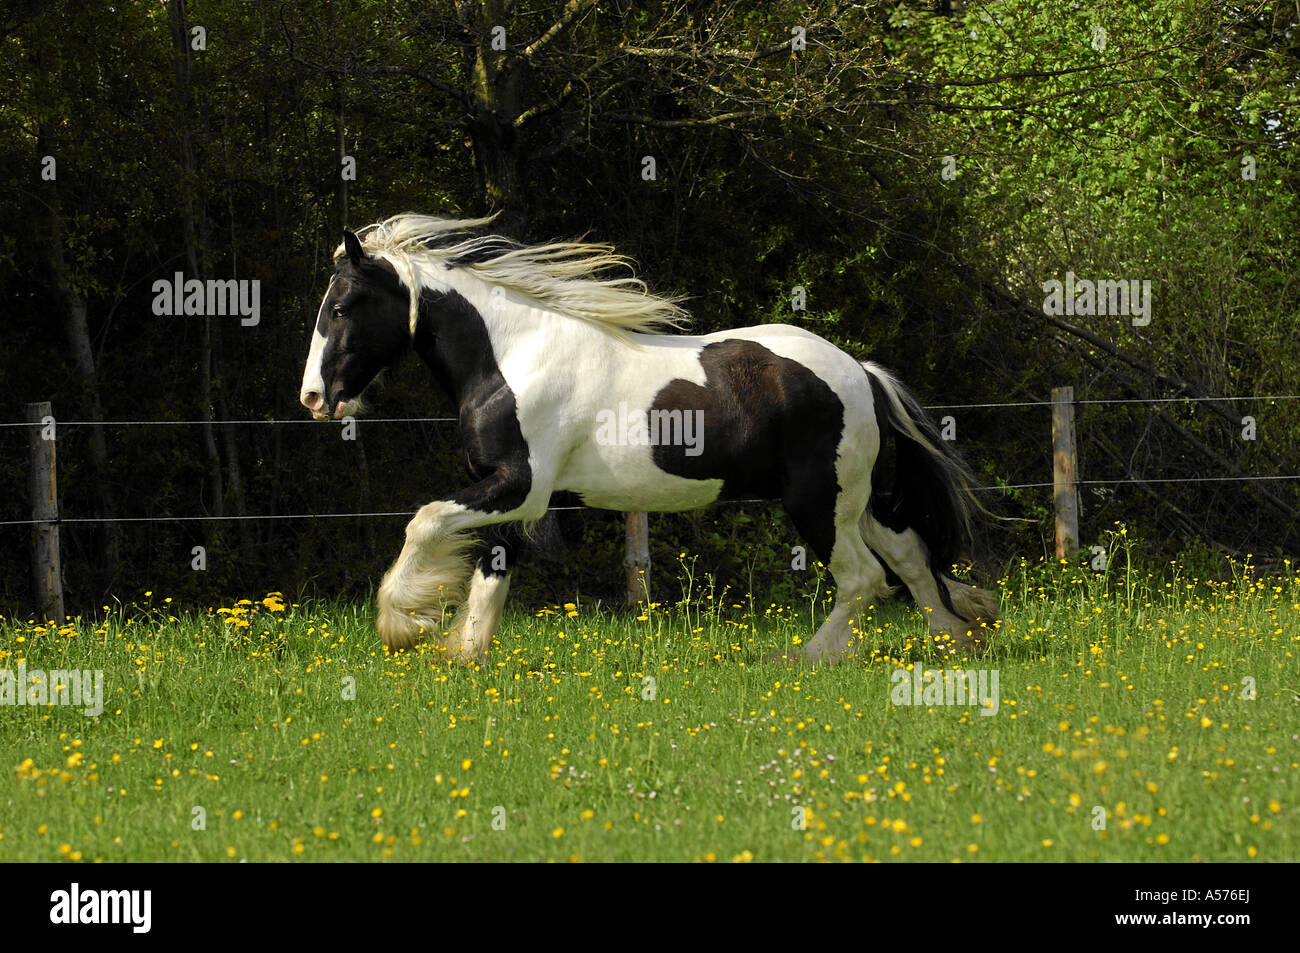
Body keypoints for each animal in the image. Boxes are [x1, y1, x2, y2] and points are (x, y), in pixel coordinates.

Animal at [299, 213, 1000, 664]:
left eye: (342, 307)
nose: (313, 399)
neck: (511, 359)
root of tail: (859, 371)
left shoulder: (519, 487)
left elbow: (423, 522)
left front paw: (401, 624)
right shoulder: (512, 496)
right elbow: (491, 572)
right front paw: (465, 655)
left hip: (817, 503)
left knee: (862, 577)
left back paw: (807, 659)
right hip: (856, 500)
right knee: (910, 557)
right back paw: (957, 638)